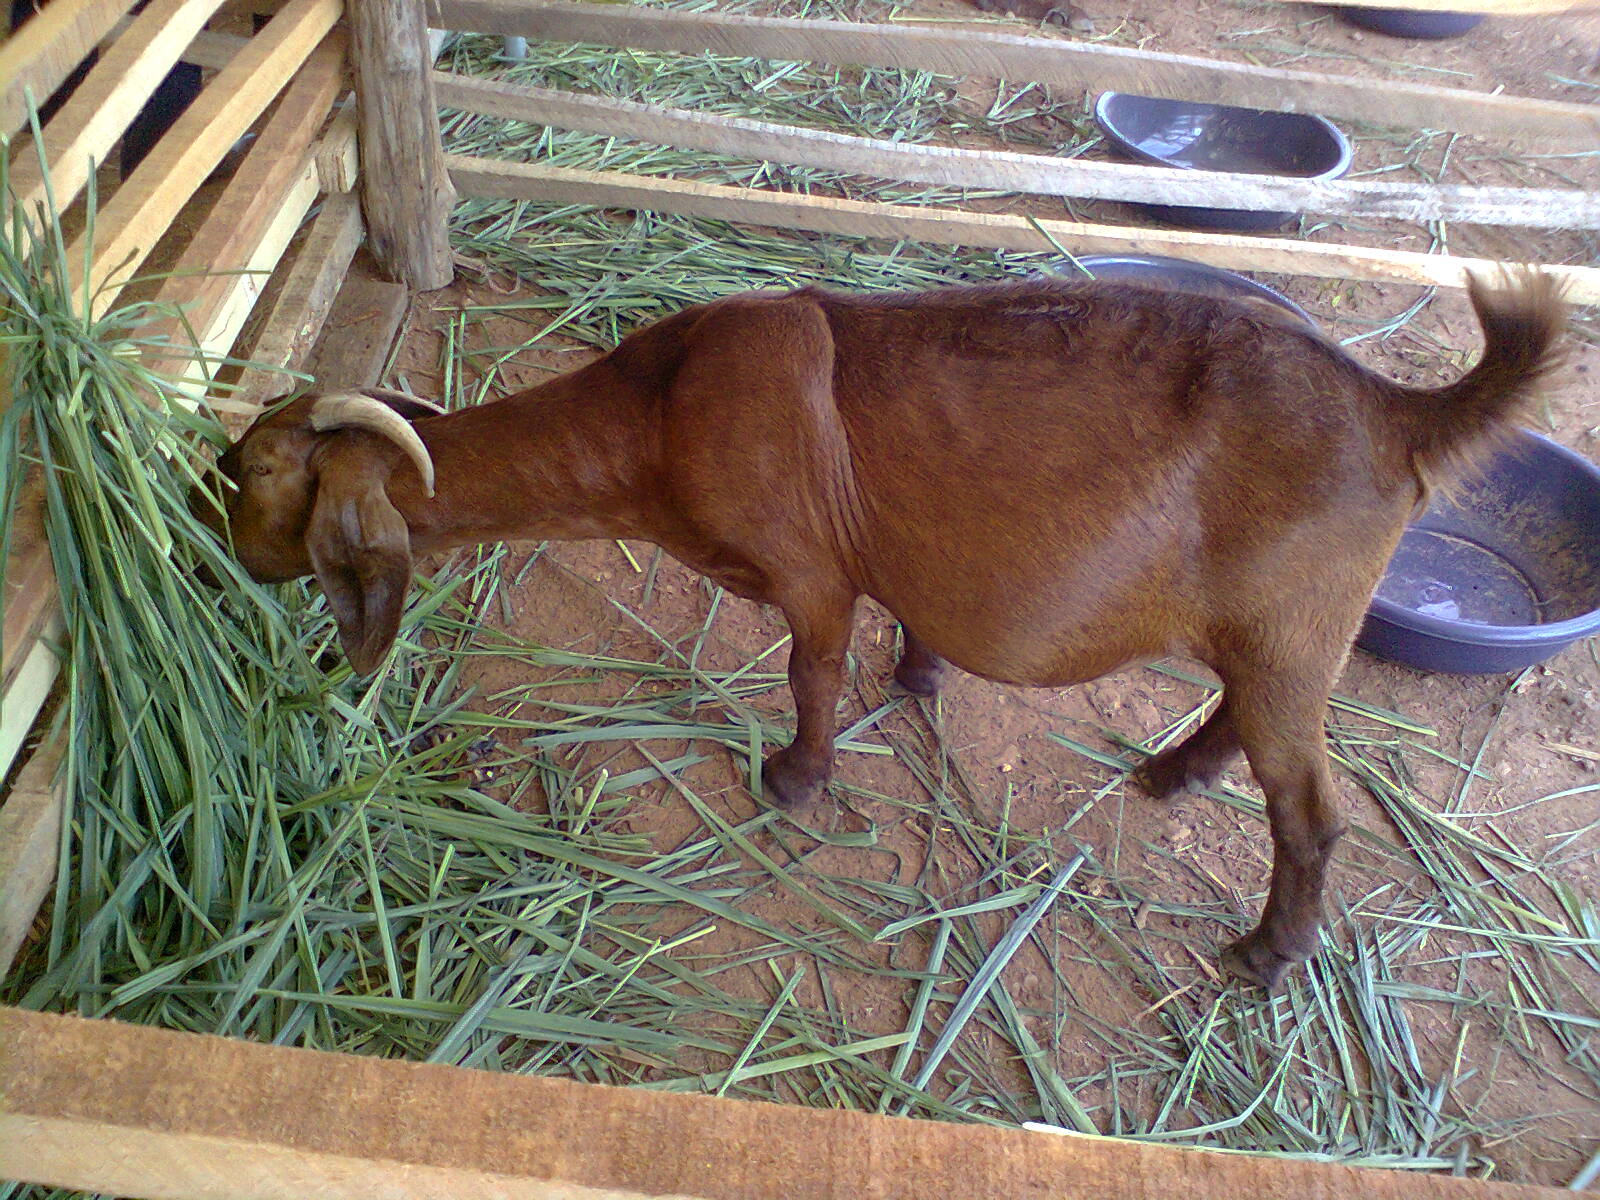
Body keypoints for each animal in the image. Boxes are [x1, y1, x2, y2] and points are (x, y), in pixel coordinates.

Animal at [197, 270, 1566, 989]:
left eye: (258, 470)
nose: (222, 547)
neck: (660, 411)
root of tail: (1396, 408)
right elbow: (906, 625)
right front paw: (918, 679)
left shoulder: (807, 571)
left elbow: (809, 674)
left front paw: (793, 782)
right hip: (1270, 633)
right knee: (1242, 722)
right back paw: (1170, 776)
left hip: (1295, 624)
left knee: (1312, 808)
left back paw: (1265, 955)